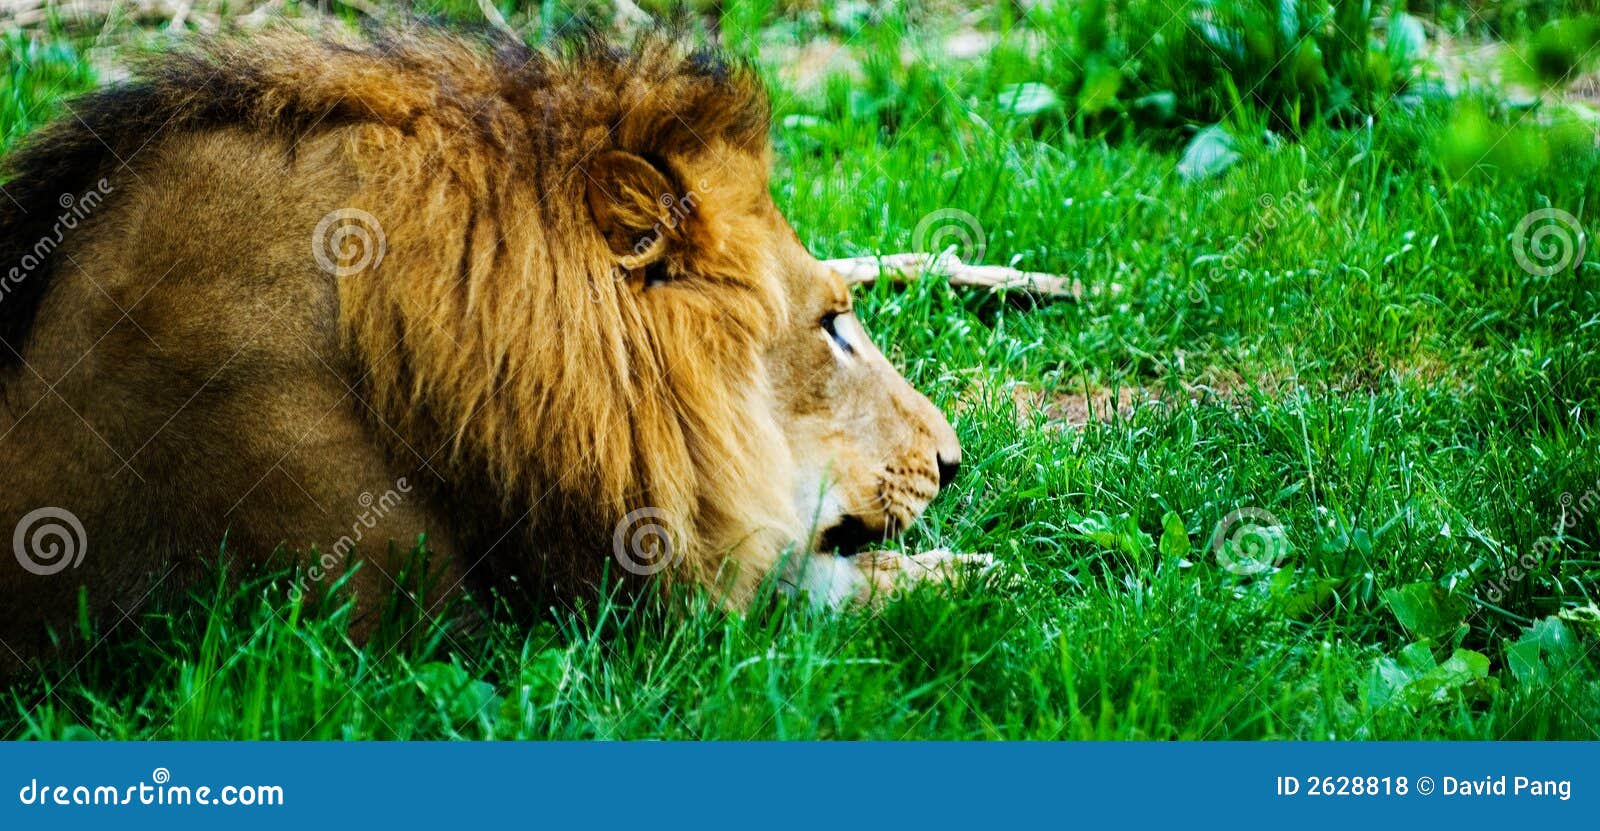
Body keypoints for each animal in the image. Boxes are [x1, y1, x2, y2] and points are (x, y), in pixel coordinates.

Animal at [0, 27, 979, 666]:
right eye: (832, 325)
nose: (953, 460)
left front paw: (962, 565)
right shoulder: (447, 634)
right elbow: (797, 595)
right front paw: (974, 578)